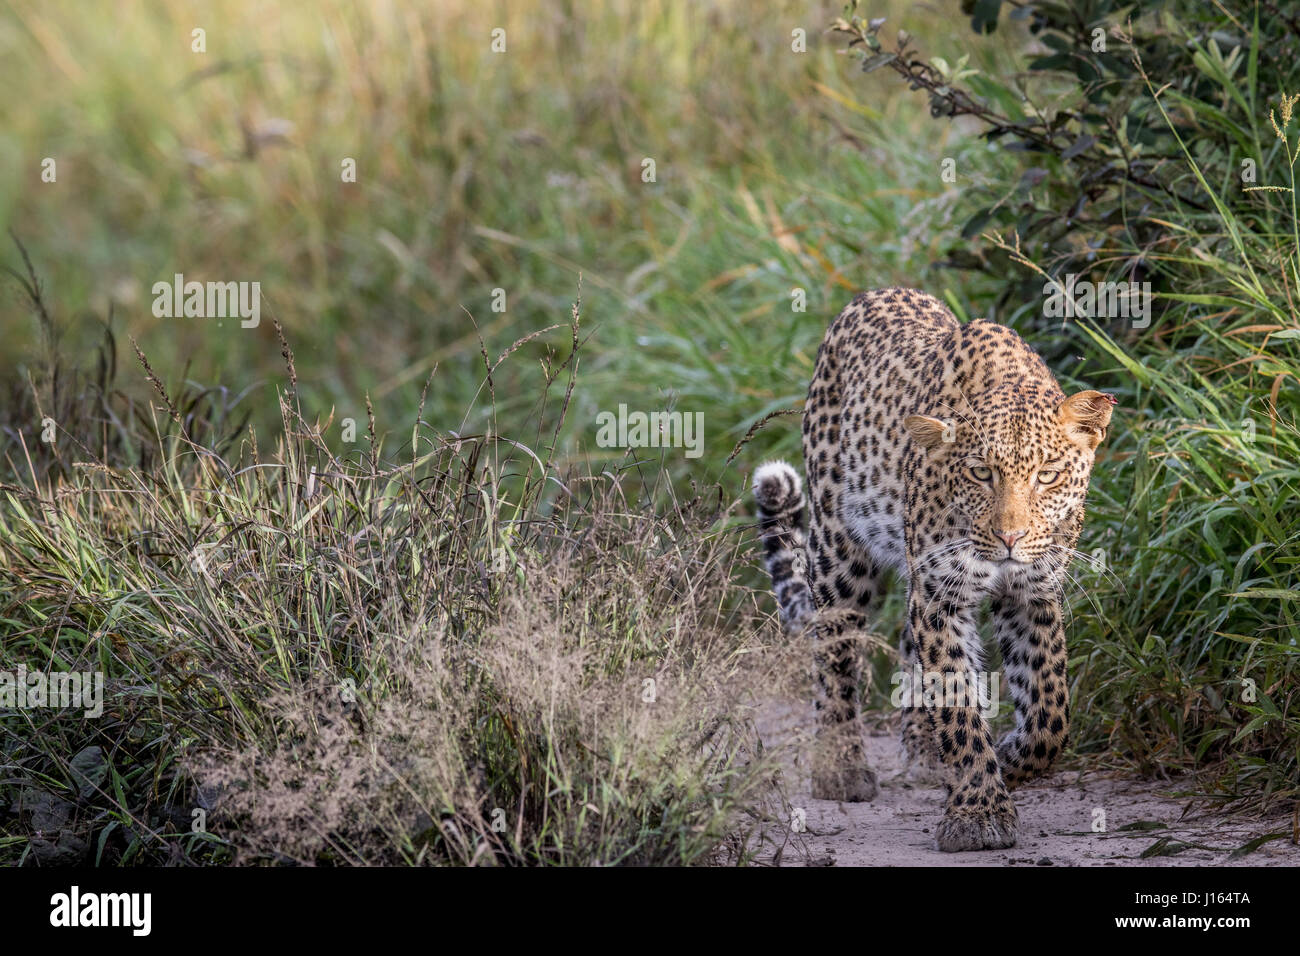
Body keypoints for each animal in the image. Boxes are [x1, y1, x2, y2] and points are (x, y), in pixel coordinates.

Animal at [753, 287, 1114, 852]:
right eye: (981, 474)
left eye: (1048, 476)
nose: (1010, 538)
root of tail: (873, 294)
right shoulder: (942, 592)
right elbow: (957, 700)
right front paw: (978, 811)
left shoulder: (1031, 592)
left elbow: (1050, 712)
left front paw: (1006, 760)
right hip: (839, 548)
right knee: (834, 650)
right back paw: (841, 767)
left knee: (905, 639)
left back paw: (923, 750)